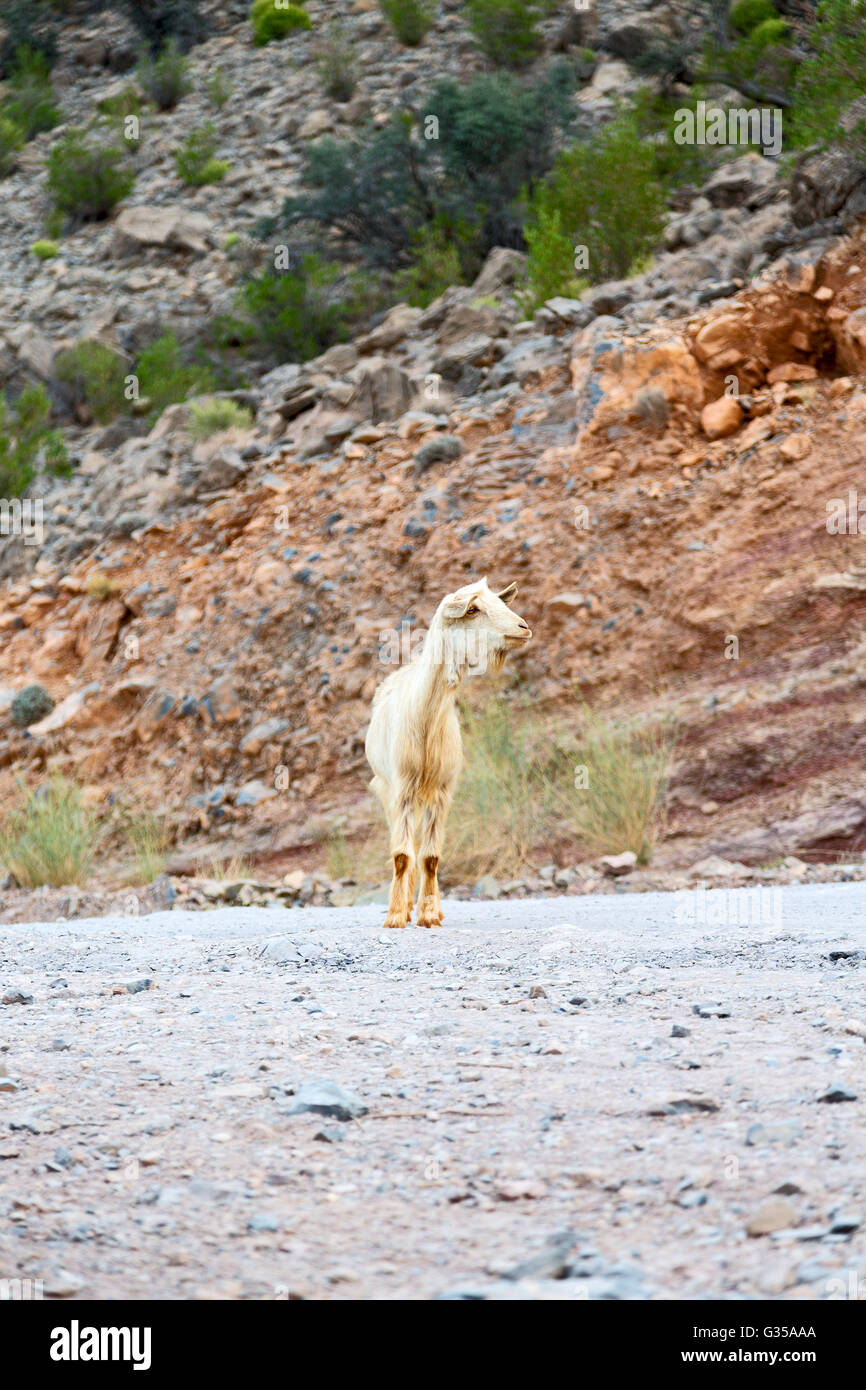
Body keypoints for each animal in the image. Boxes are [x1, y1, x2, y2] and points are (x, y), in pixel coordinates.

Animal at [365, 578, 532, 928]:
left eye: (501, 602)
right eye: (473, 609)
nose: (523, 628)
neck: (425, 718)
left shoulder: (442, 789)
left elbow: (430, 856)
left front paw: (429, 915)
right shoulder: (400, 787)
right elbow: (401, 855)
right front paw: (395, 917)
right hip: (386, 789)